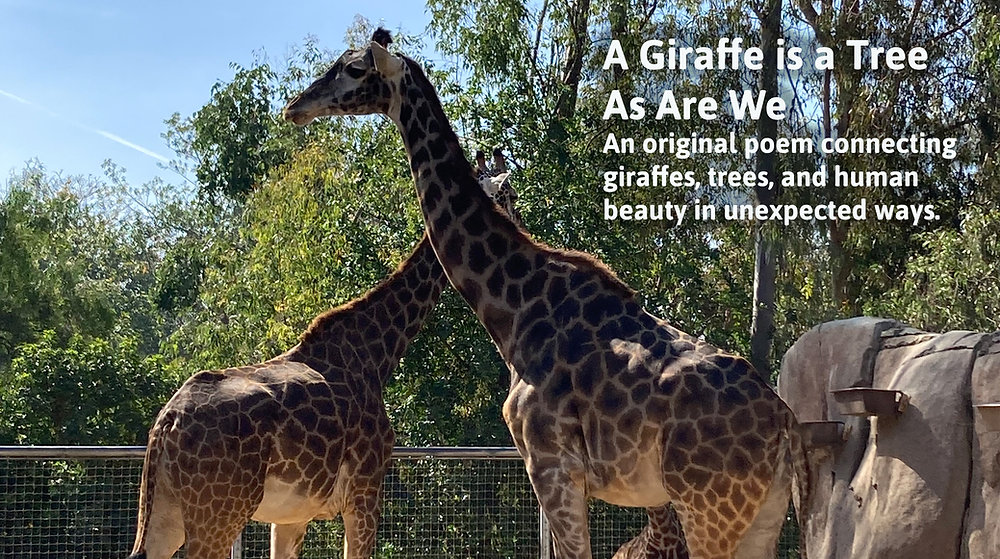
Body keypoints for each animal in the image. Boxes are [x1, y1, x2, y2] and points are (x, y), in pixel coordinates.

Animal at [128, 153, 520, 559]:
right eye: (510, 194)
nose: (519, 231)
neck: (376, 355)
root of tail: (167, 424)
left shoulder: (292, 515)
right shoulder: (365, 491)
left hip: (166, 514)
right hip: (220, 514)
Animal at [283, 29, 807, 559]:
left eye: (353, 69)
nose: (294, 108)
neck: (515, 306)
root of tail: (783, 423)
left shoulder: (550, 464)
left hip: (708, 508)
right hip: (763, 514)